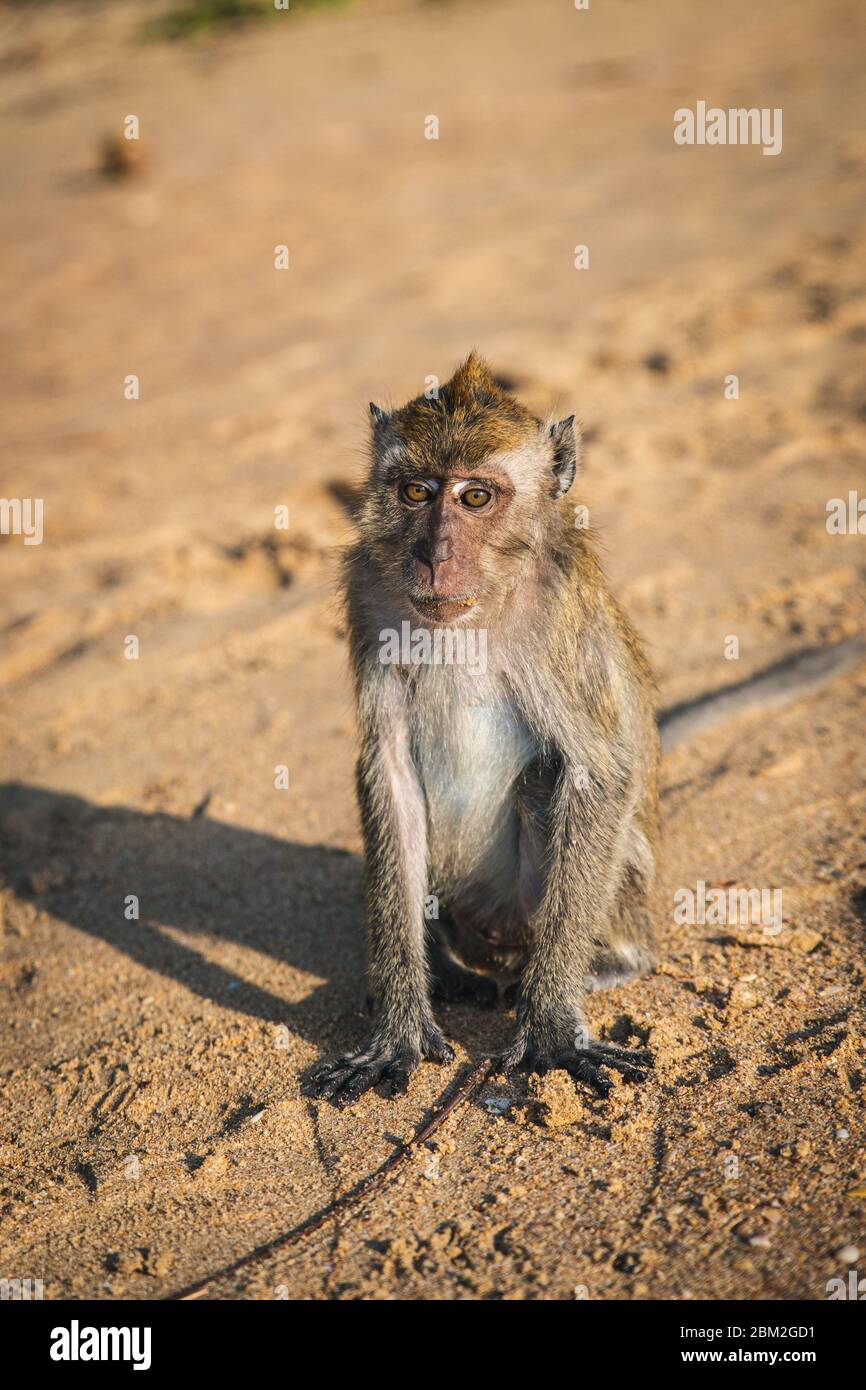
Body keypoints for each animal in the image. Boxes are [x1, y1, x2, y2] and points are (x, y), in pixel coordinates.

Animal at [305, 352, 658, 1107]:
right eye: (416, 491)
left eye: (474, 498)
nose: (436, 554)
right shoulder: (367, 595)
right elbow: (389, 772)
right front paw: (400, 1028)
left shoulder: (560, 608)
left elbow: (598, 772)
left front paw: (552, 1026)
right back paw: (449, 974)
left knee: (547, 781)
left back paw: (596, 965)